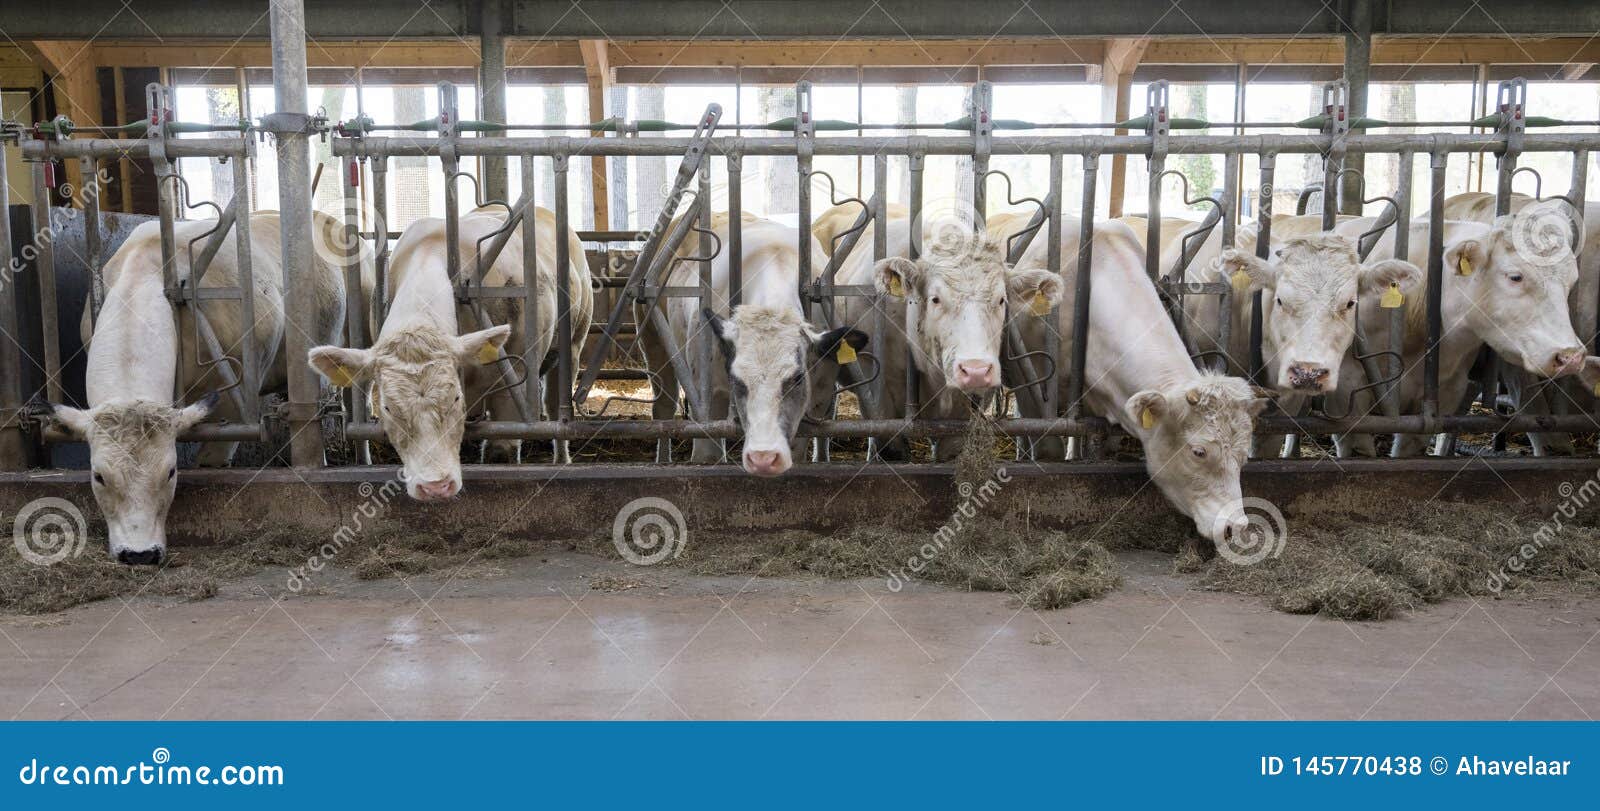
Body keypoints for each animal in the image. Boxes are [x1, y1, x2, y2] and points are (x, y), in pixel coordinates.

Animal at [307, 206, 593, 500]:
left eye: (456, 398)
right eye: (387, 407)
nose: (435, 486)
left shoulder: (516, 376)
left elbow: (500, 452)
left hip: (574, 341)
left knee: (555, 404)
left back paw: (561, 460)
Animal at [642, 212, 867, 475]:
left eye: (797, 378)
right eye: (736, 379)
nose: (763, 457)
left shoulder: (818, 394)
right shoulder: (710, 394)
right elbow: (707, 453)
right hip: (654, 341)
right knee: (663, 407)